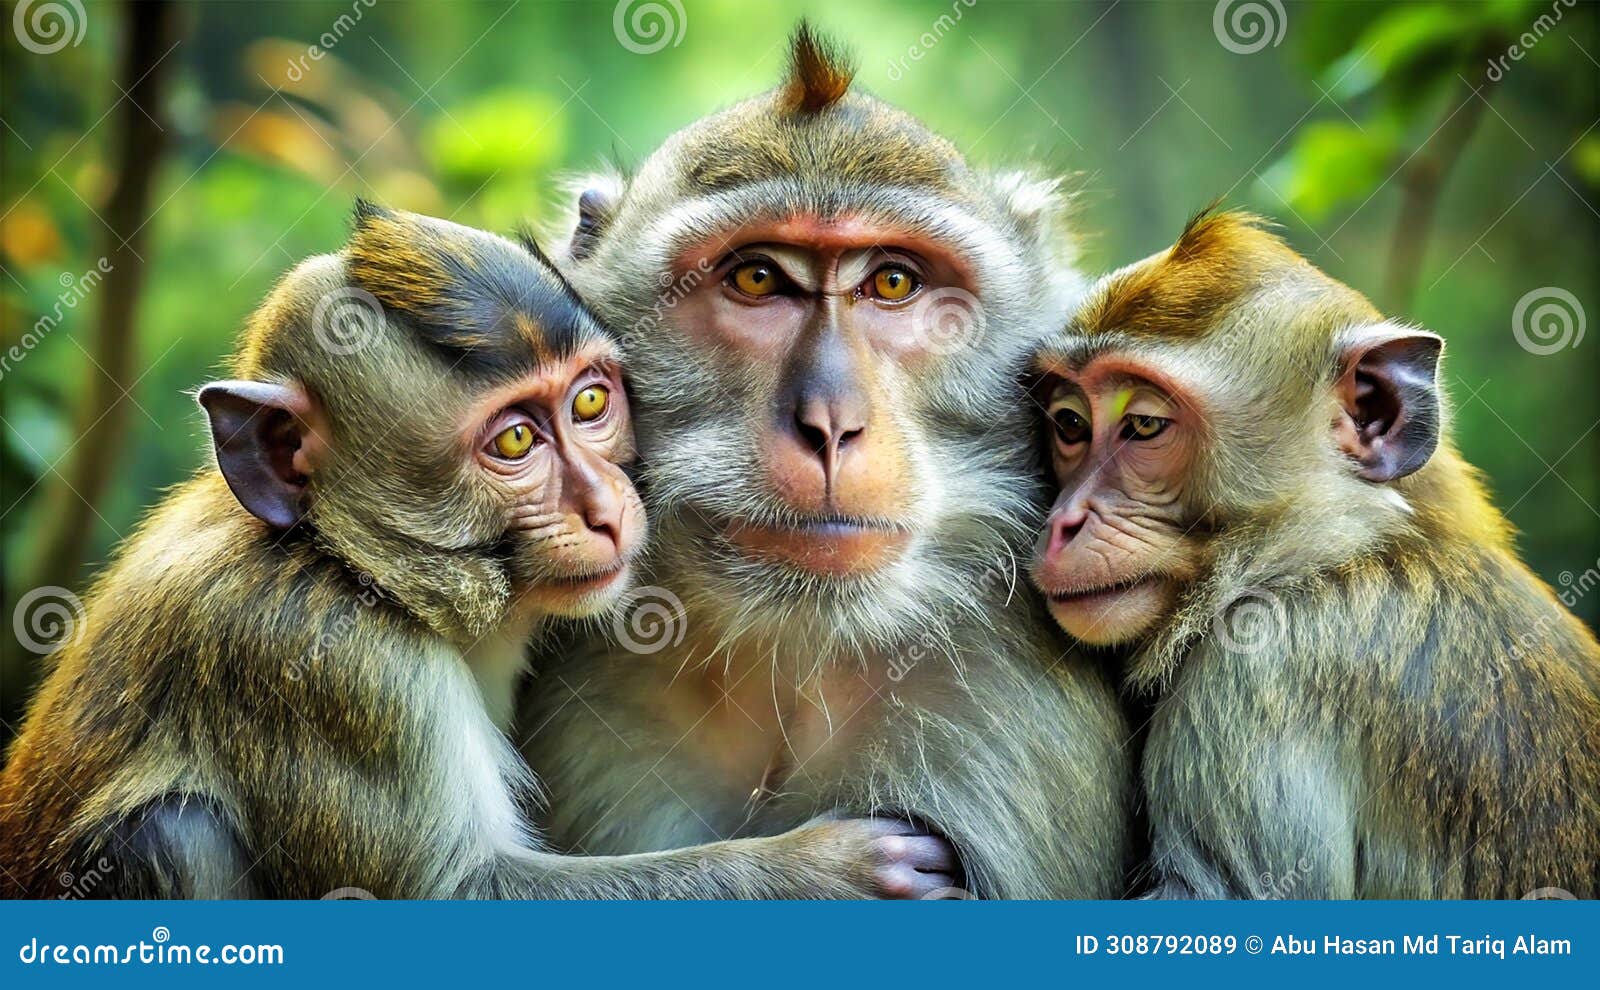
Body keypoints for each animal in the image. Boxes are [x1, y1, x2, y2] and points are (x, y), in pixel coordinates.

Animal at [0, 203, 958, 899]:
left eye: (589, 403)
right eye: (514, 443)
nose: (607, 510)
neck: (344, 563)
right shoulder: (330, 666)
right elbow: (459, 895)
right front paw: (825, 871)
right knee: (172, 833)